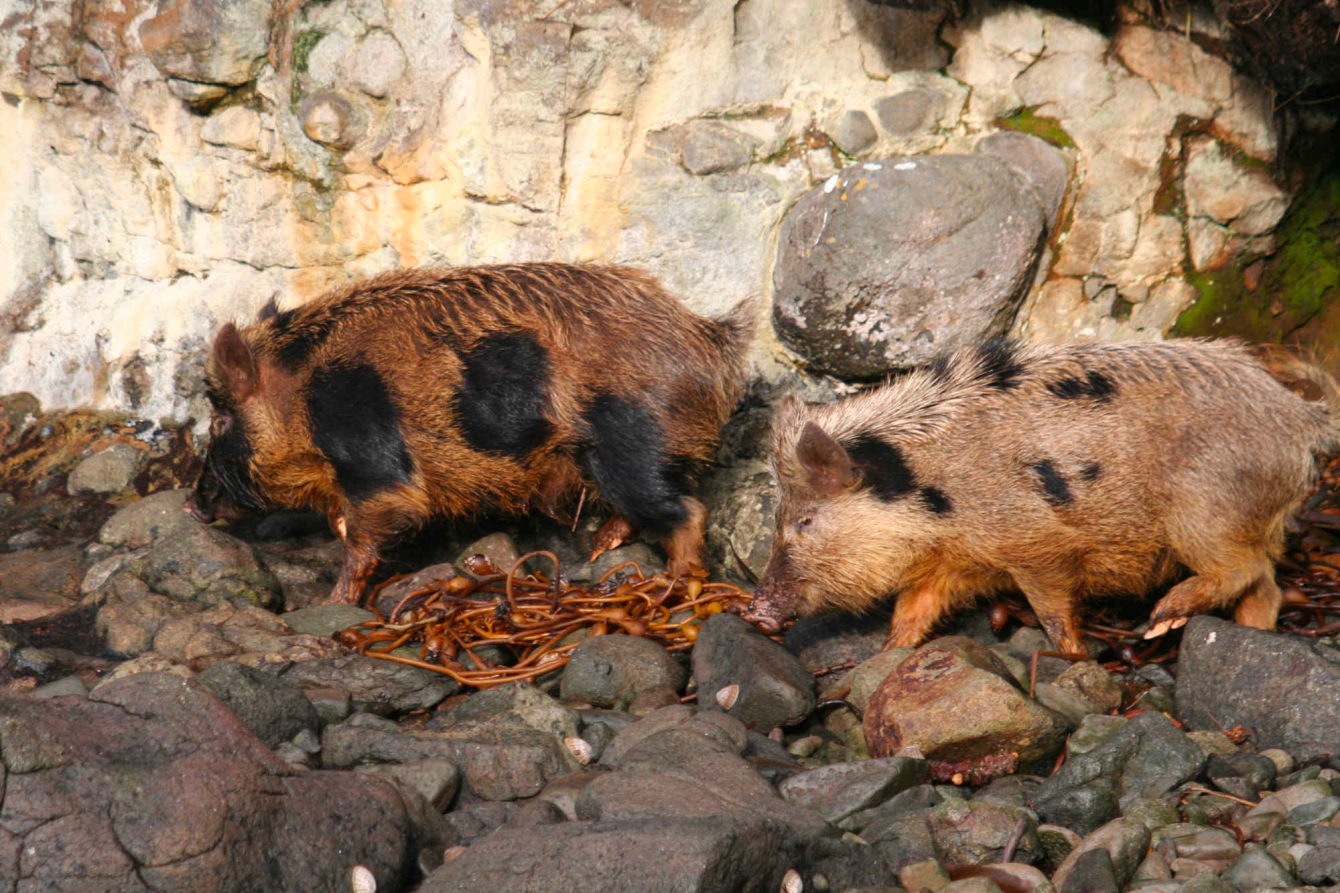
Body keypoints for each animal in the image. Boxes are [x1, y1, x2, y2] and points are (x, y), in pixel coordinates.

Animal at [185, 263, 750, 604]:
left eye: (221, 420)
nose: (191, 504)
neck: (300, 400)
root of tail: (709, 340)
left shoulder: (374, 467)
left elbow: (368, 533)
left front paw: (334, 605)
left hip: (629, 443)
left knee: (685, 510)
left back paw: (672, 584)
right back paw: (596, 551)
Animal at [744, 339, 1338, 656]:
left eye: (805, 521)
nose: (753, 611)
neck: (939, 495)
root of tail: (1302, 421)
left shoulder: (1035, 546)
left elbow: (1052, 610)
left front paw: (1075, 659)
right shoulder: (950, 565)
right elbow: (912, 611)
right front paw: (887, 658)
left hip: (1204, 512)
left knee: (1243, 570)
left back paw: (1162, 619)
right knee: (1266, 586)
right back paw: (1247, 633)